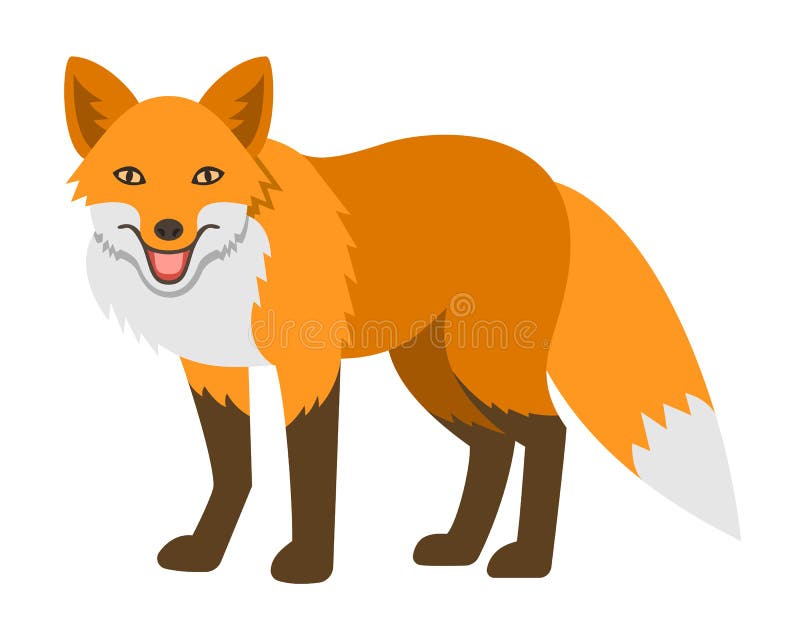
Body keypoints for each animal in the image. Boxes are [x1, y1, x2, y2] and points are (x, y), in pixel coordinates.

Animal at [64, 56, 738, 583]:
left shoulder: (309, 369)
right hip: (430, 371)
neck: (236, 261)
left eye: (208, 176)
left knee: (549, 435)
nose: (167, 229)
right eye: (130, 176)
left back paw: (528, 562)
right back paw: (461, 549)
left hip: (484, 362)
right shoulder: (213, 371)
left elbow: (311, 476)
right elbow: (232, 472)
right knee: (494, 444)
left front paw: (308, 567)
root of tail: (548, 179)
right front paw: (206, 555)